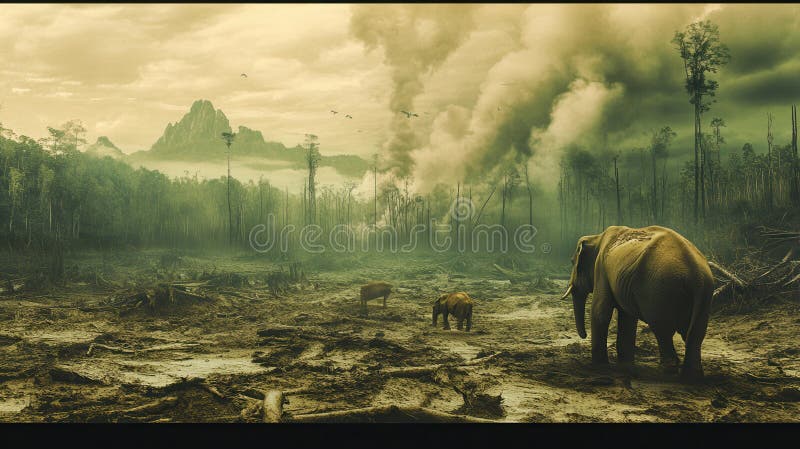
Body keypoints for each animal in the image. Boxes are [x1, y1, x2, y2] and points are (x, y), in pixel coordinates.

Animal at [560, 225, 714, 382]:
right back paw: (692, 377)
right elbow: (627, 318)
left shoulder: (601, 269)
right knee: (695, 333)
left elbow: (600, 311)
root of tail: (696, 276)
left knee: (662, 330)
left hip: (659, 291)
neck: (596, 237)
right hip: (704, 295)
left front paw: (600, 367)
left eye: (572, 261)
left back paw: (666, 372)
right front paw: (625, 365)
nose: (583, 335)